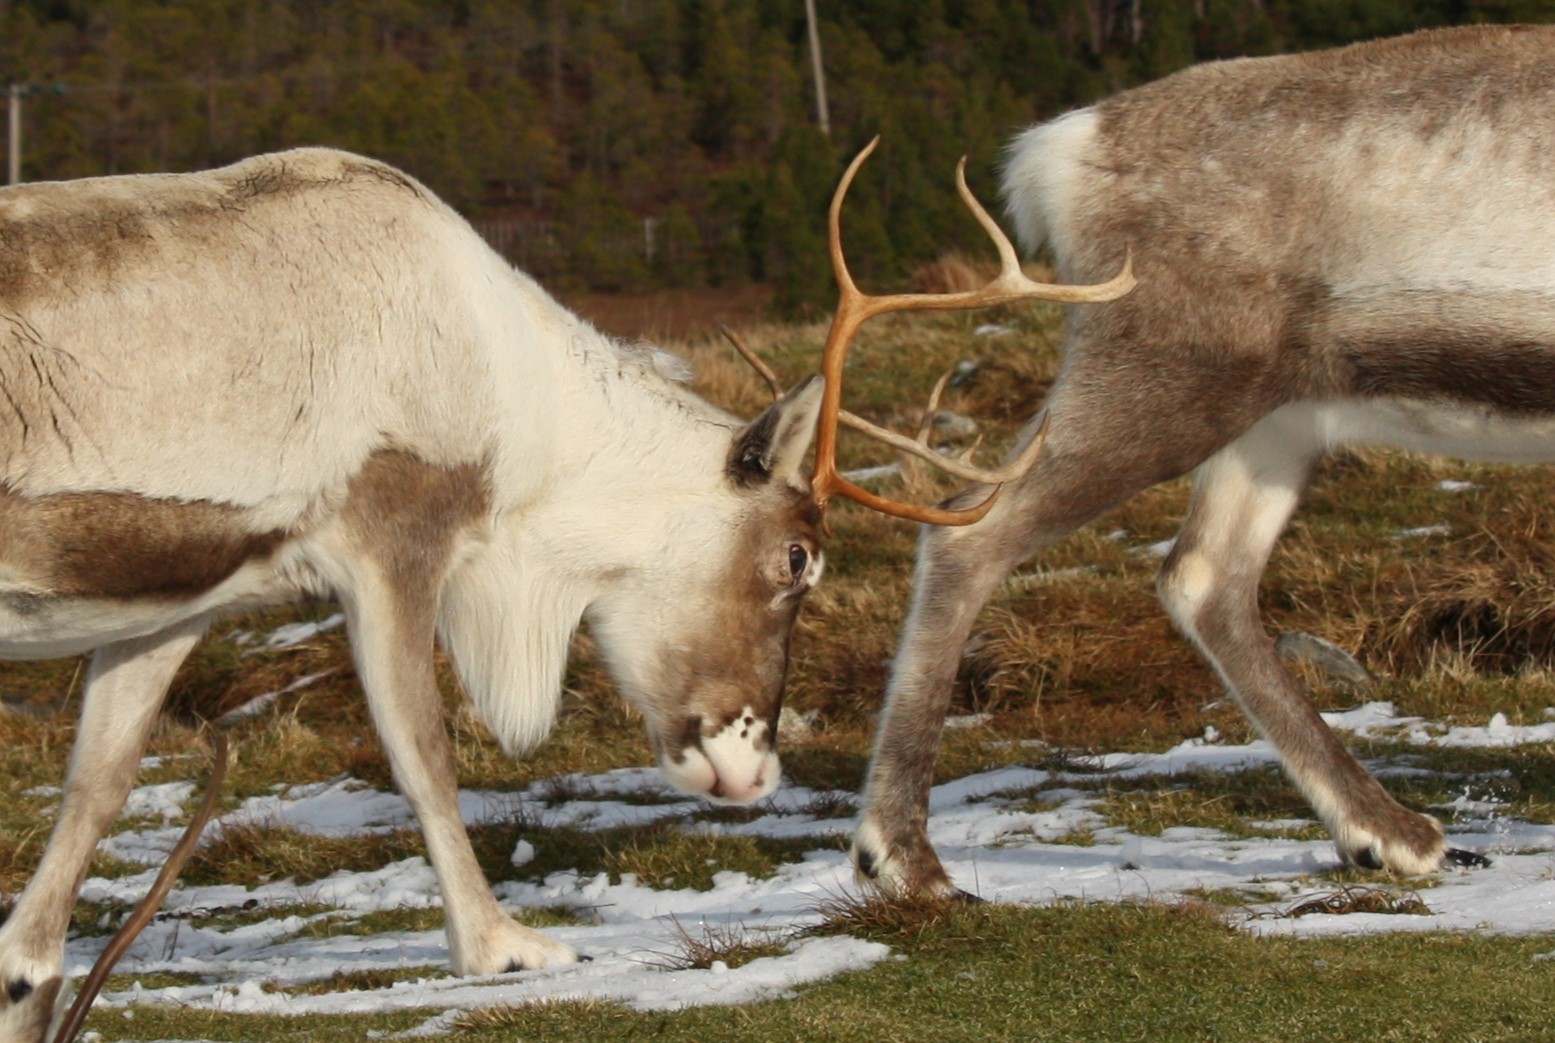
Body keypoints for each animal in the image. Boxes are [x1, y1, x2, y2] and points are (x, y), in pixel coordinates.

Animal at [0, 143, 1128, 1040]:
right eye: (797, 558)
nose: (755, 767)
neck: (530, 419)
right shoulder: (394, 538)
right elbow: (422, 749)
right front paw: (503, 945)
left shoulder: (170, 602)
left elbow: (98, 784)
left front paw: (25, 973)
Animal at [850, 23, 1549, 901]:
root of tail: (1064, 149)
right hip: (1166, 385)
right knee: (966, 533)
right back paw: (905, 858)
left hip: (1270, 421)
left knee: (1203, 577)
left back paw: (1387, 834)